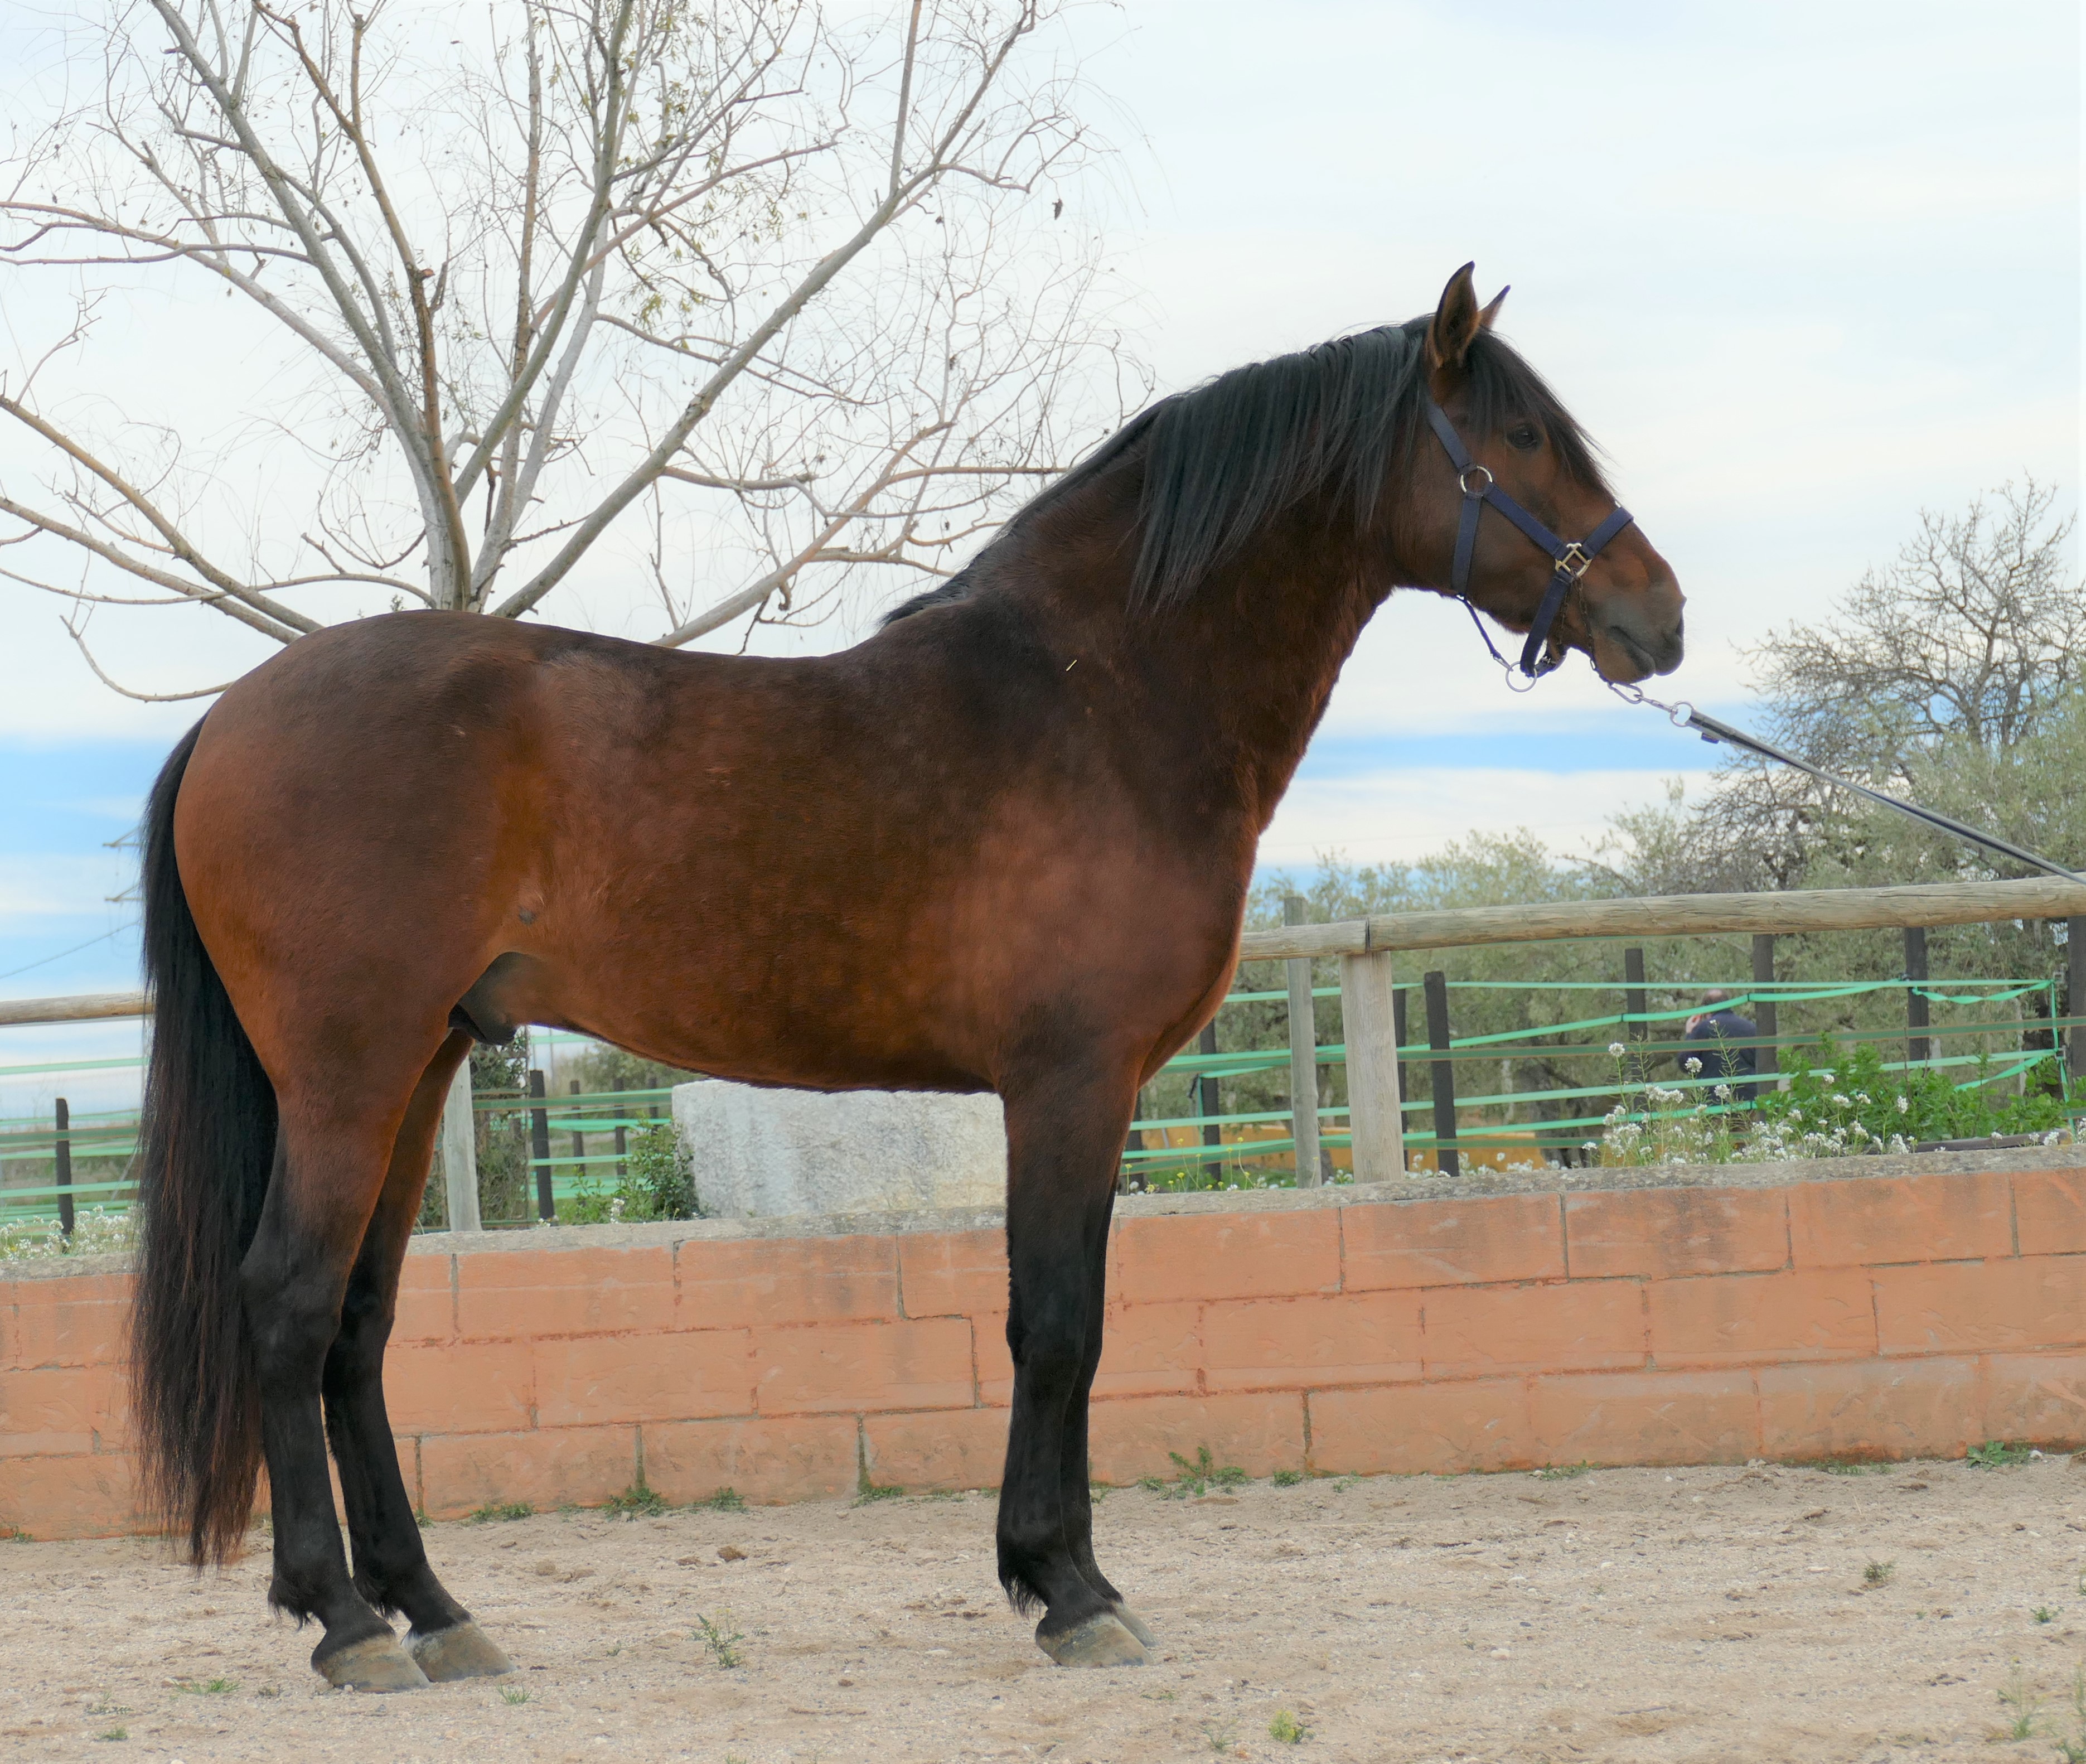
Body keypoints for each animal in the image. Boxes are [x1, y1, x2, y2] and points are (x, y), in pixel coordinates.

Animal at [129, 263, 1684, 1689]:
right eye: (1522, 437)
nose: (1657, 616)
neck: (1101, 698)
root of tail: (233, 717)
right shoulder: (1067, 1081)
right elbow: (1055, 1322)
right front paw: (1067, 1590)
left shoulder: (1091, 1091)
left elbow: (1072, 1321)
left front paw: (1070, 1572)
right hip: (351, 1072)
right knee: (288, 1301)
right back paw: (343, 1622)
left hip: (423, 1063)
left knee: (357, 1326)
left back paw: (434, 1611)